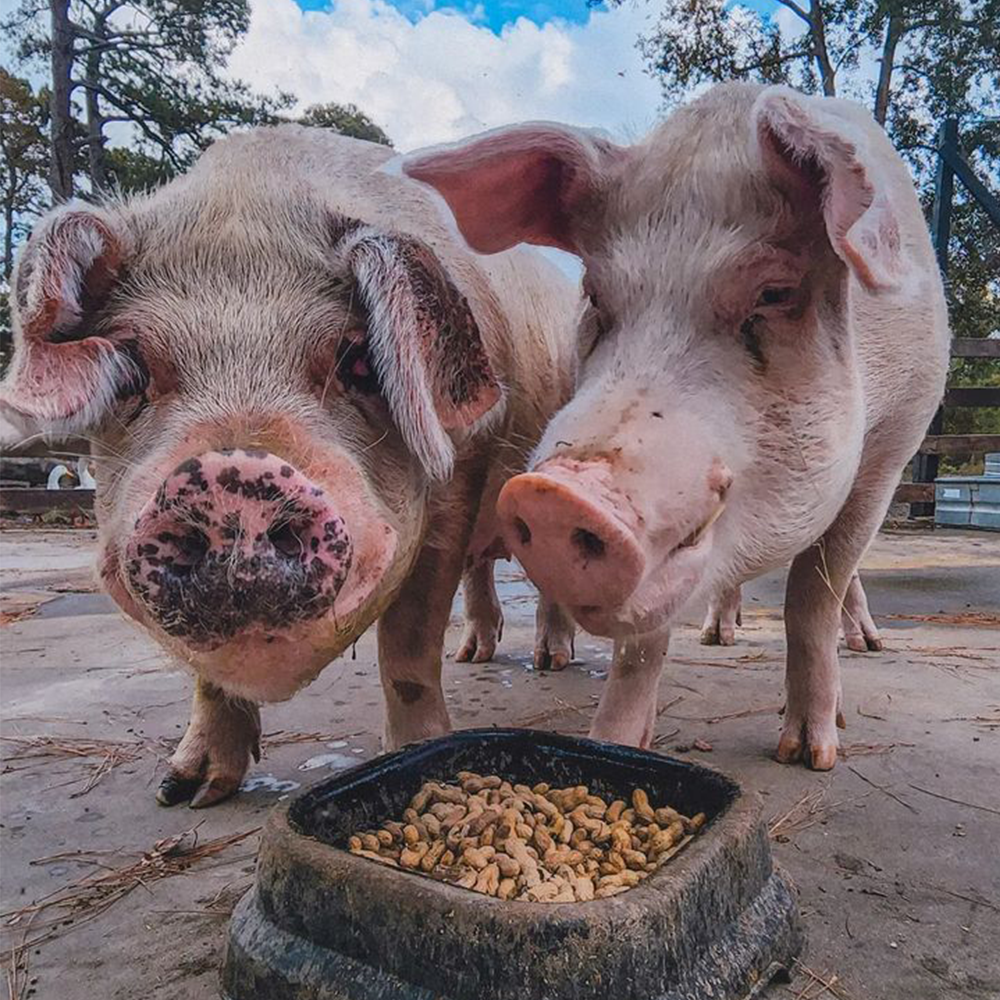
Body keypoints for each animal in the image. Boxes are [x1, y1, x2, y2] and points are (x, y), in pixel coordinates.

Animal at [0, 124, 581, 806]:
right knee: (482, 572)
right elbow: (208, 678)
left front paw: (417, 756)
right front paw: (186, 793)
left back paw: (549, 662)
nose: (233, 474)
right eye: (133, 370)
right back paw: (474, 657)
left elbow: (408, 645)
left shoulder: (458, 478)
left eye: (360, 360)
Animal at [403, 82, 949, 769]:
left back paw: (864, 649)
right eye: (595, 296)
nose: (557, 494)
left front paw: (808, 755)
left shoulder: (889, 453)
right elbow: (643, 642)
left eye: (774, 293)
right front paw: (610, 742)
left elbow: (812, 596)